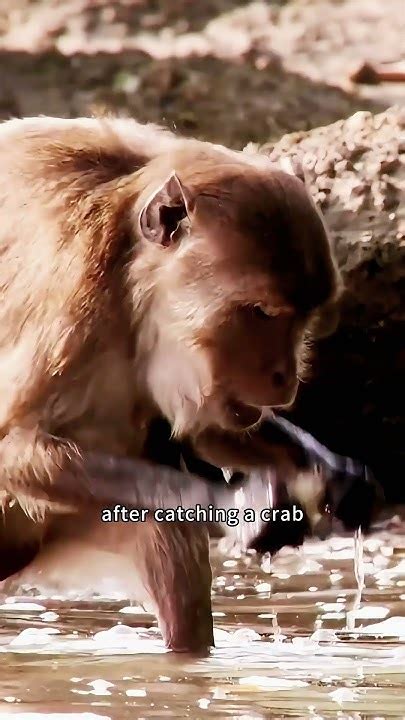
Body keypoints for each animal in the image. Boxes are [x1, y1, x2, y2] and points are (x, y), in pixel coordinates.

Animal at [0, 115, 342, 651]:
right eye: (262, 314)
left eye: (303, 320)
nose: (286, 378)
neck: (129, 282)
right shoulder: (69, 298)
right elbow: (13, 447)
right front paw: (230, 504)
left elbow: (209, 430)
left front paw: (322, 469)